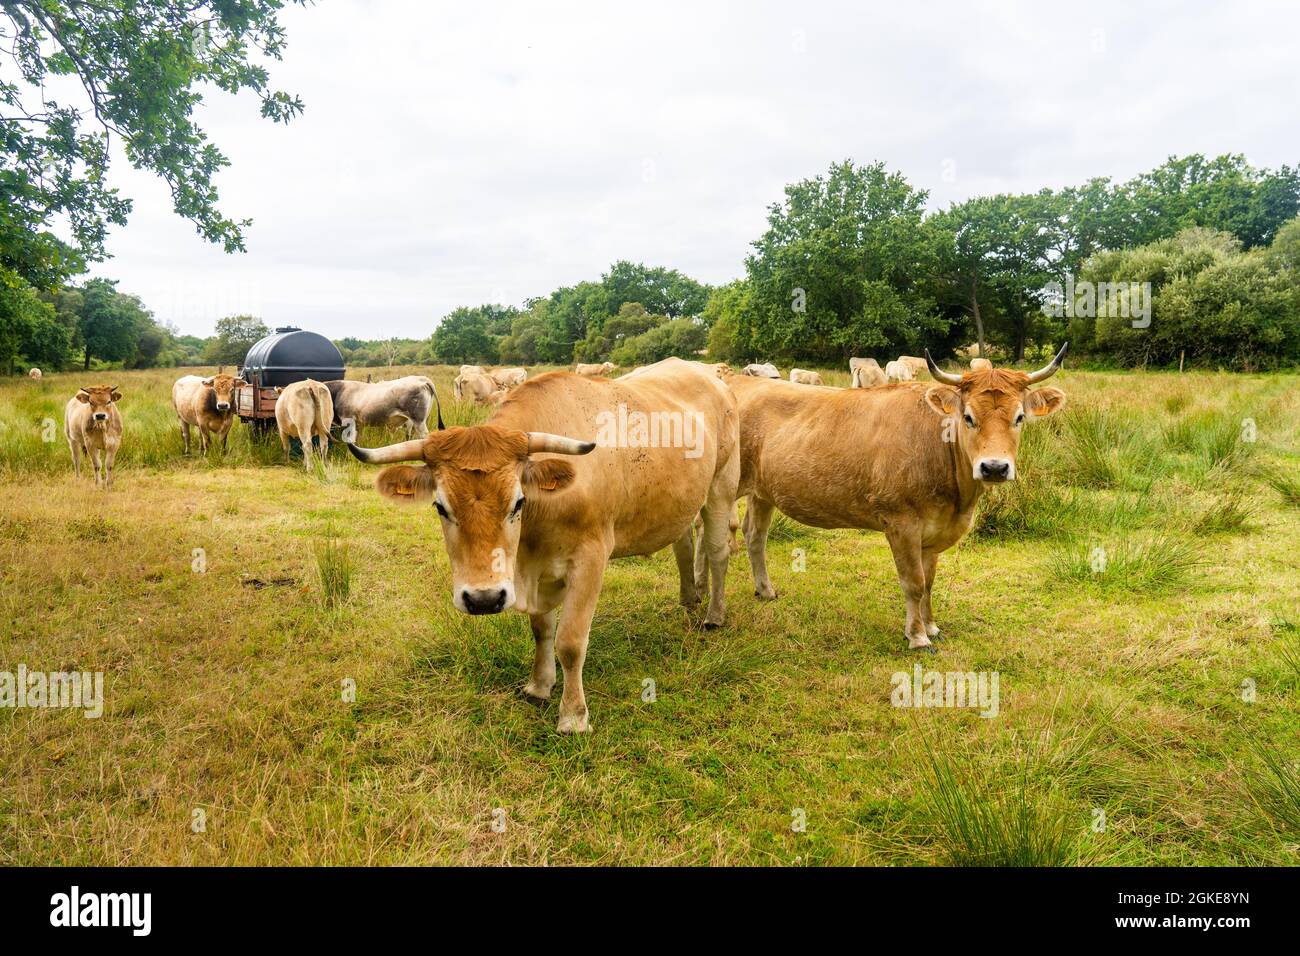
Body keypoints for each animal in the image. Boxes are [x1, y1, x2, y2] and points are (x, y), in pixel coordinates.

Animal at [345, 357, 740, 733]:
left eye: (518, 502)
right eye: (440, 507)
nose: (483, 599)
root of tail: (710, 375)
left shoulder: (591, 559)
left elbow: (570, 641)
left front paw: (574, 716)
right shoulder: (532, 567)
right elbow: (542, 630)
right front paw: (538, 686)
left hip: (721, 485)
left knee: (718, 551)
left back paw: (714, 614)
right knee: (684, 544)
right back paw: (689, 599)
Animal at [721, 344, 1068, 652]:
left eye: (1020, 417)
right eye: (968, 417)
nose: (994, 467)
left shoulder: (933, 532)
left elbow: (929, 582)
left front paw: (931, 626)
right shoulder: (901, 524)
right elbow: (913, 583)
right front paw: (917, 637)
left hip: (762, 491)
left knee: (755, 534)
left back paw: (765, 590)